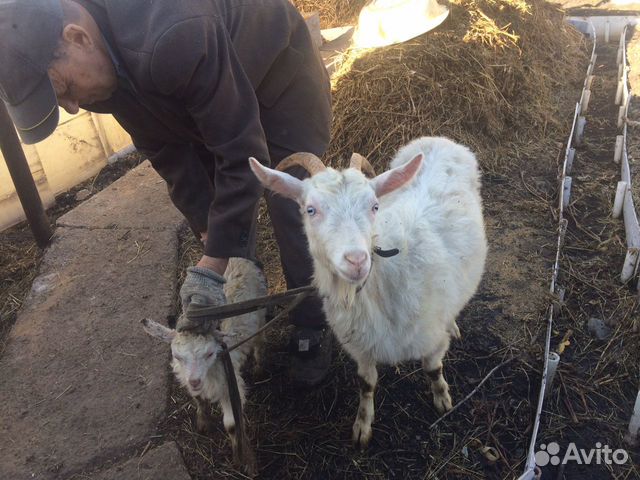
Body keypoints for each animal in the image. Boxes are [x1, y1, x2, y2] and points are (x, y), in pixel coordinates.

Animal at [142, 257, 266, 471]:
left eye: (209, 354)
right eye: (177, 356)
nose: (194, 381)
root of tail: (238, 258)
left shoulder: (229, 386)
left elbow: (232, 425)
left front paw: (244, 459)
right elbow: (198, 398)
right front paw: (203, 422)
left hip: (261, 314)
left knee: (259, 340)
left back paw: (259, 365)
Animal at [249, 136, 487, 448]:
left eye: (374, 206)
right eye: (310, 209)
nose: (357, 260)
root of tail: (439, 139)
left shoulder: (432, 339)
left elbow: (432, 369)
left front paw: (443, 399)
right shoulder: (360, 345)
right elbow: (366, 384)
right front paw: (362, 426)